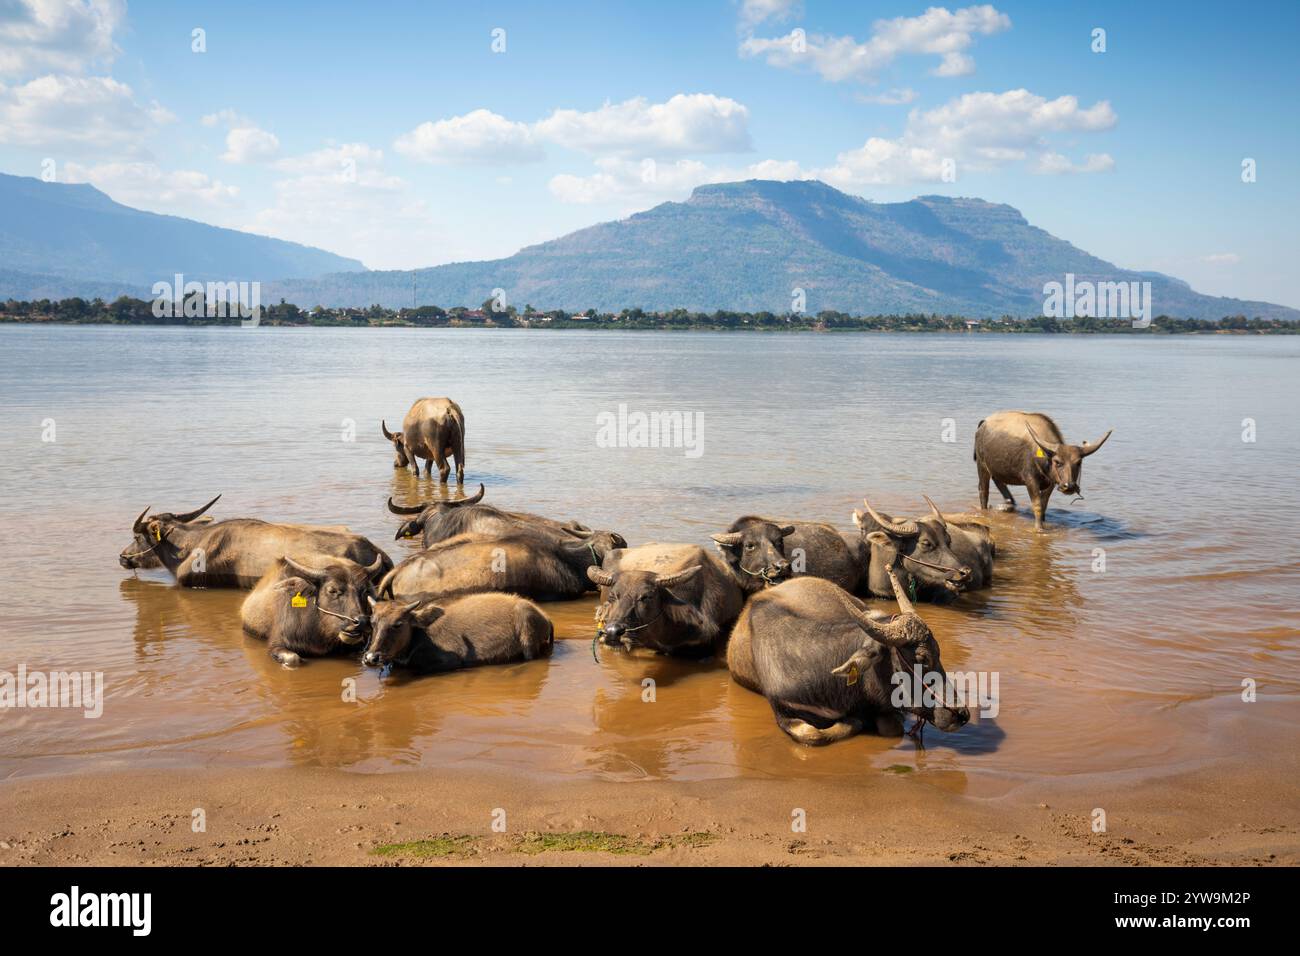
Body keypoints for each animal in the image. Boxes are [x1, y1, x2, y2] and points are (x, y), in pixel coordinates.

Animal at [362, 593, 554, 674]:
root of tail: (544, 616)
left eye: (398, 624)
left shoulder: (450, 661)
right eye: (373, 622)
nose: (371, 657)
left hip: (528, 639)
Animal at [974, 410, 1113, 530]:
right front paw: (1039, 528)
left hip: (997, 469)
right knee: (983, 491)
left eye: (1078, 463)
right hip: (982, 466)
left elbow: (1044, 504)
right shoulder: (1030, 480)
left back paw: (1009, 503)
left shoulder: (1051, 482)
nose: (1069, 486)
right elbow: (1037, 505)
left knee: (999, 482)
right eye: (1057, 462)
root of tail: (983, 423)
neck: (1045, 456)